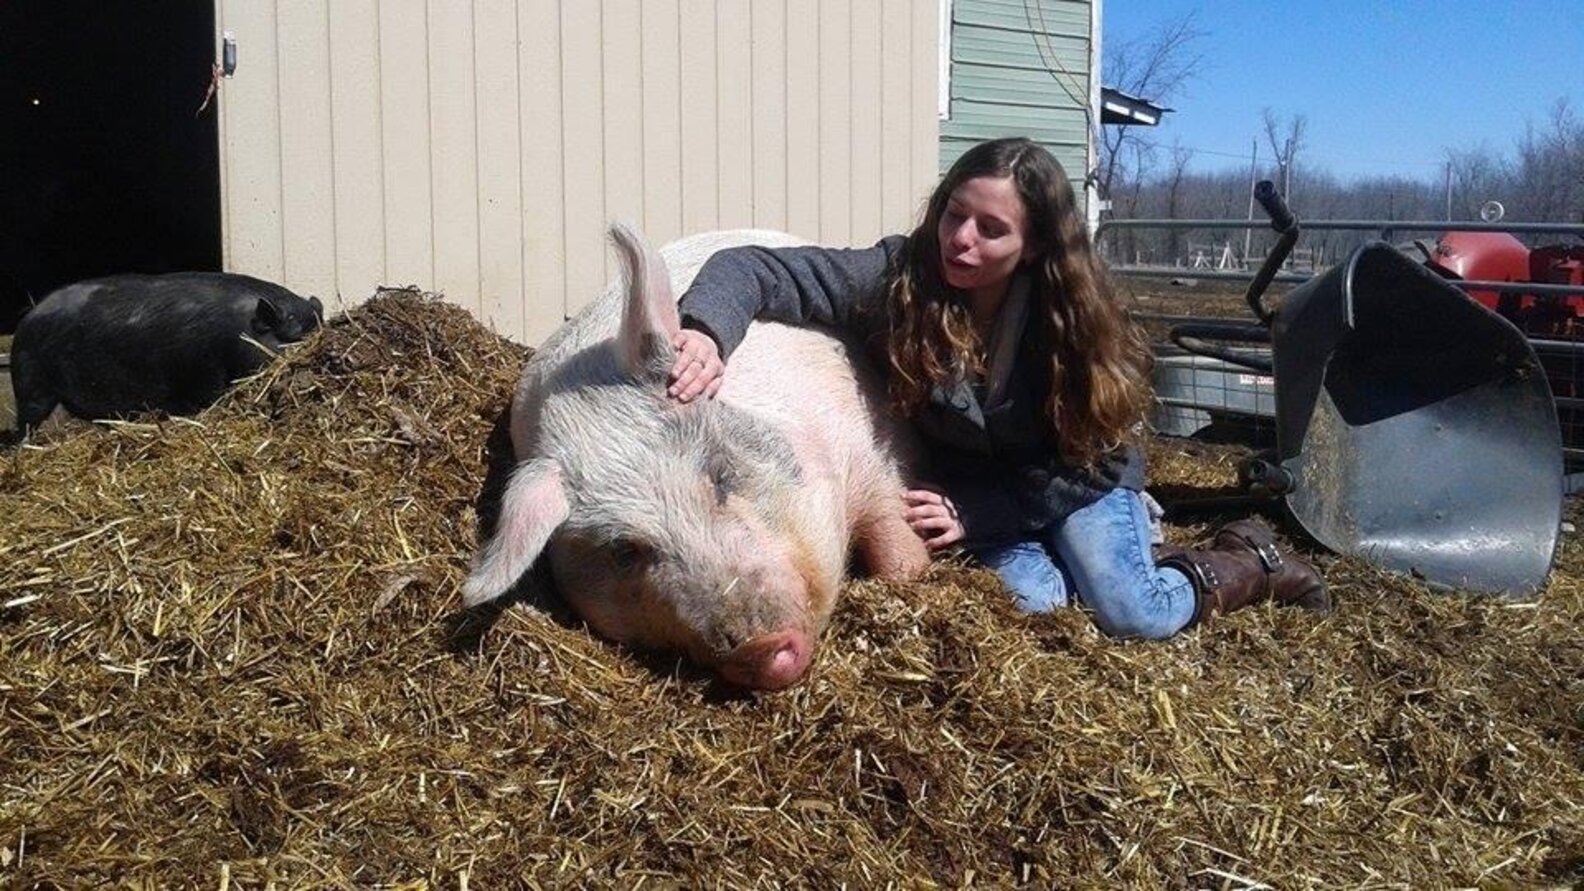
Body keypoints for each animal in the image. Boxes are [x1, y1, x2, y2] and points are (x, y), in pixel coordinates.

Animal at [10, 272, 323, 436]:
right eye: (291, 338)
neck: (237, 329)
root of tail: (26, 320)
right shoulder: (201, 373)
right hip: (31, 383)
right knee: (27, 420)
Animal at [463, 224, 930, 690]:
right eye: (625, 551)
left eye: (721, 475)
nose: (762, 648)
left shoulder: (870, 450)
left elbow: (896, 550)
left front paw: (916, 568)